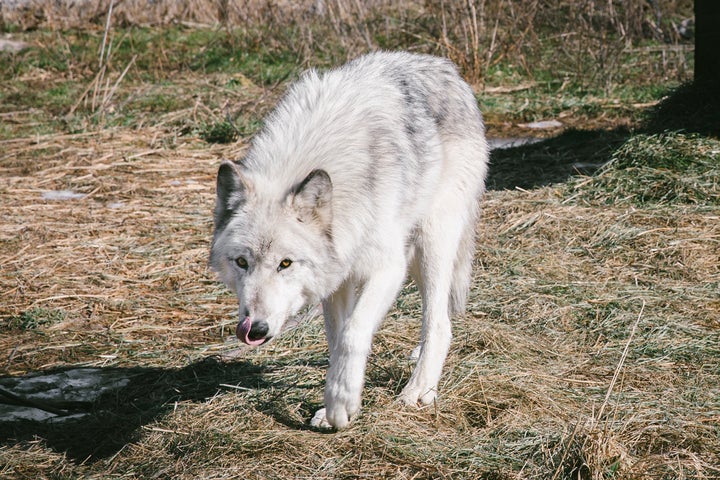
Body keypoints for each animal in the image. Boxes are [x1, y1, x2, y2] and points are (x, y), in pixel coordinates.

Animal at [210, 51, 489, 429]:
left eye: (285, 263)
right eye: (242, 262)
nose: (254, 330)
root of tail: (443, 66)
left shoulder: (387, 268)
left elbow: (354, 332)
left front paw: (342, 401)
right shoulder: (336, 275)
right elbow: (336, 338)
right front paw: (332, 402)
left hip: (432, 241)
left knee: (440, 322)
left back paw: (419, 390)